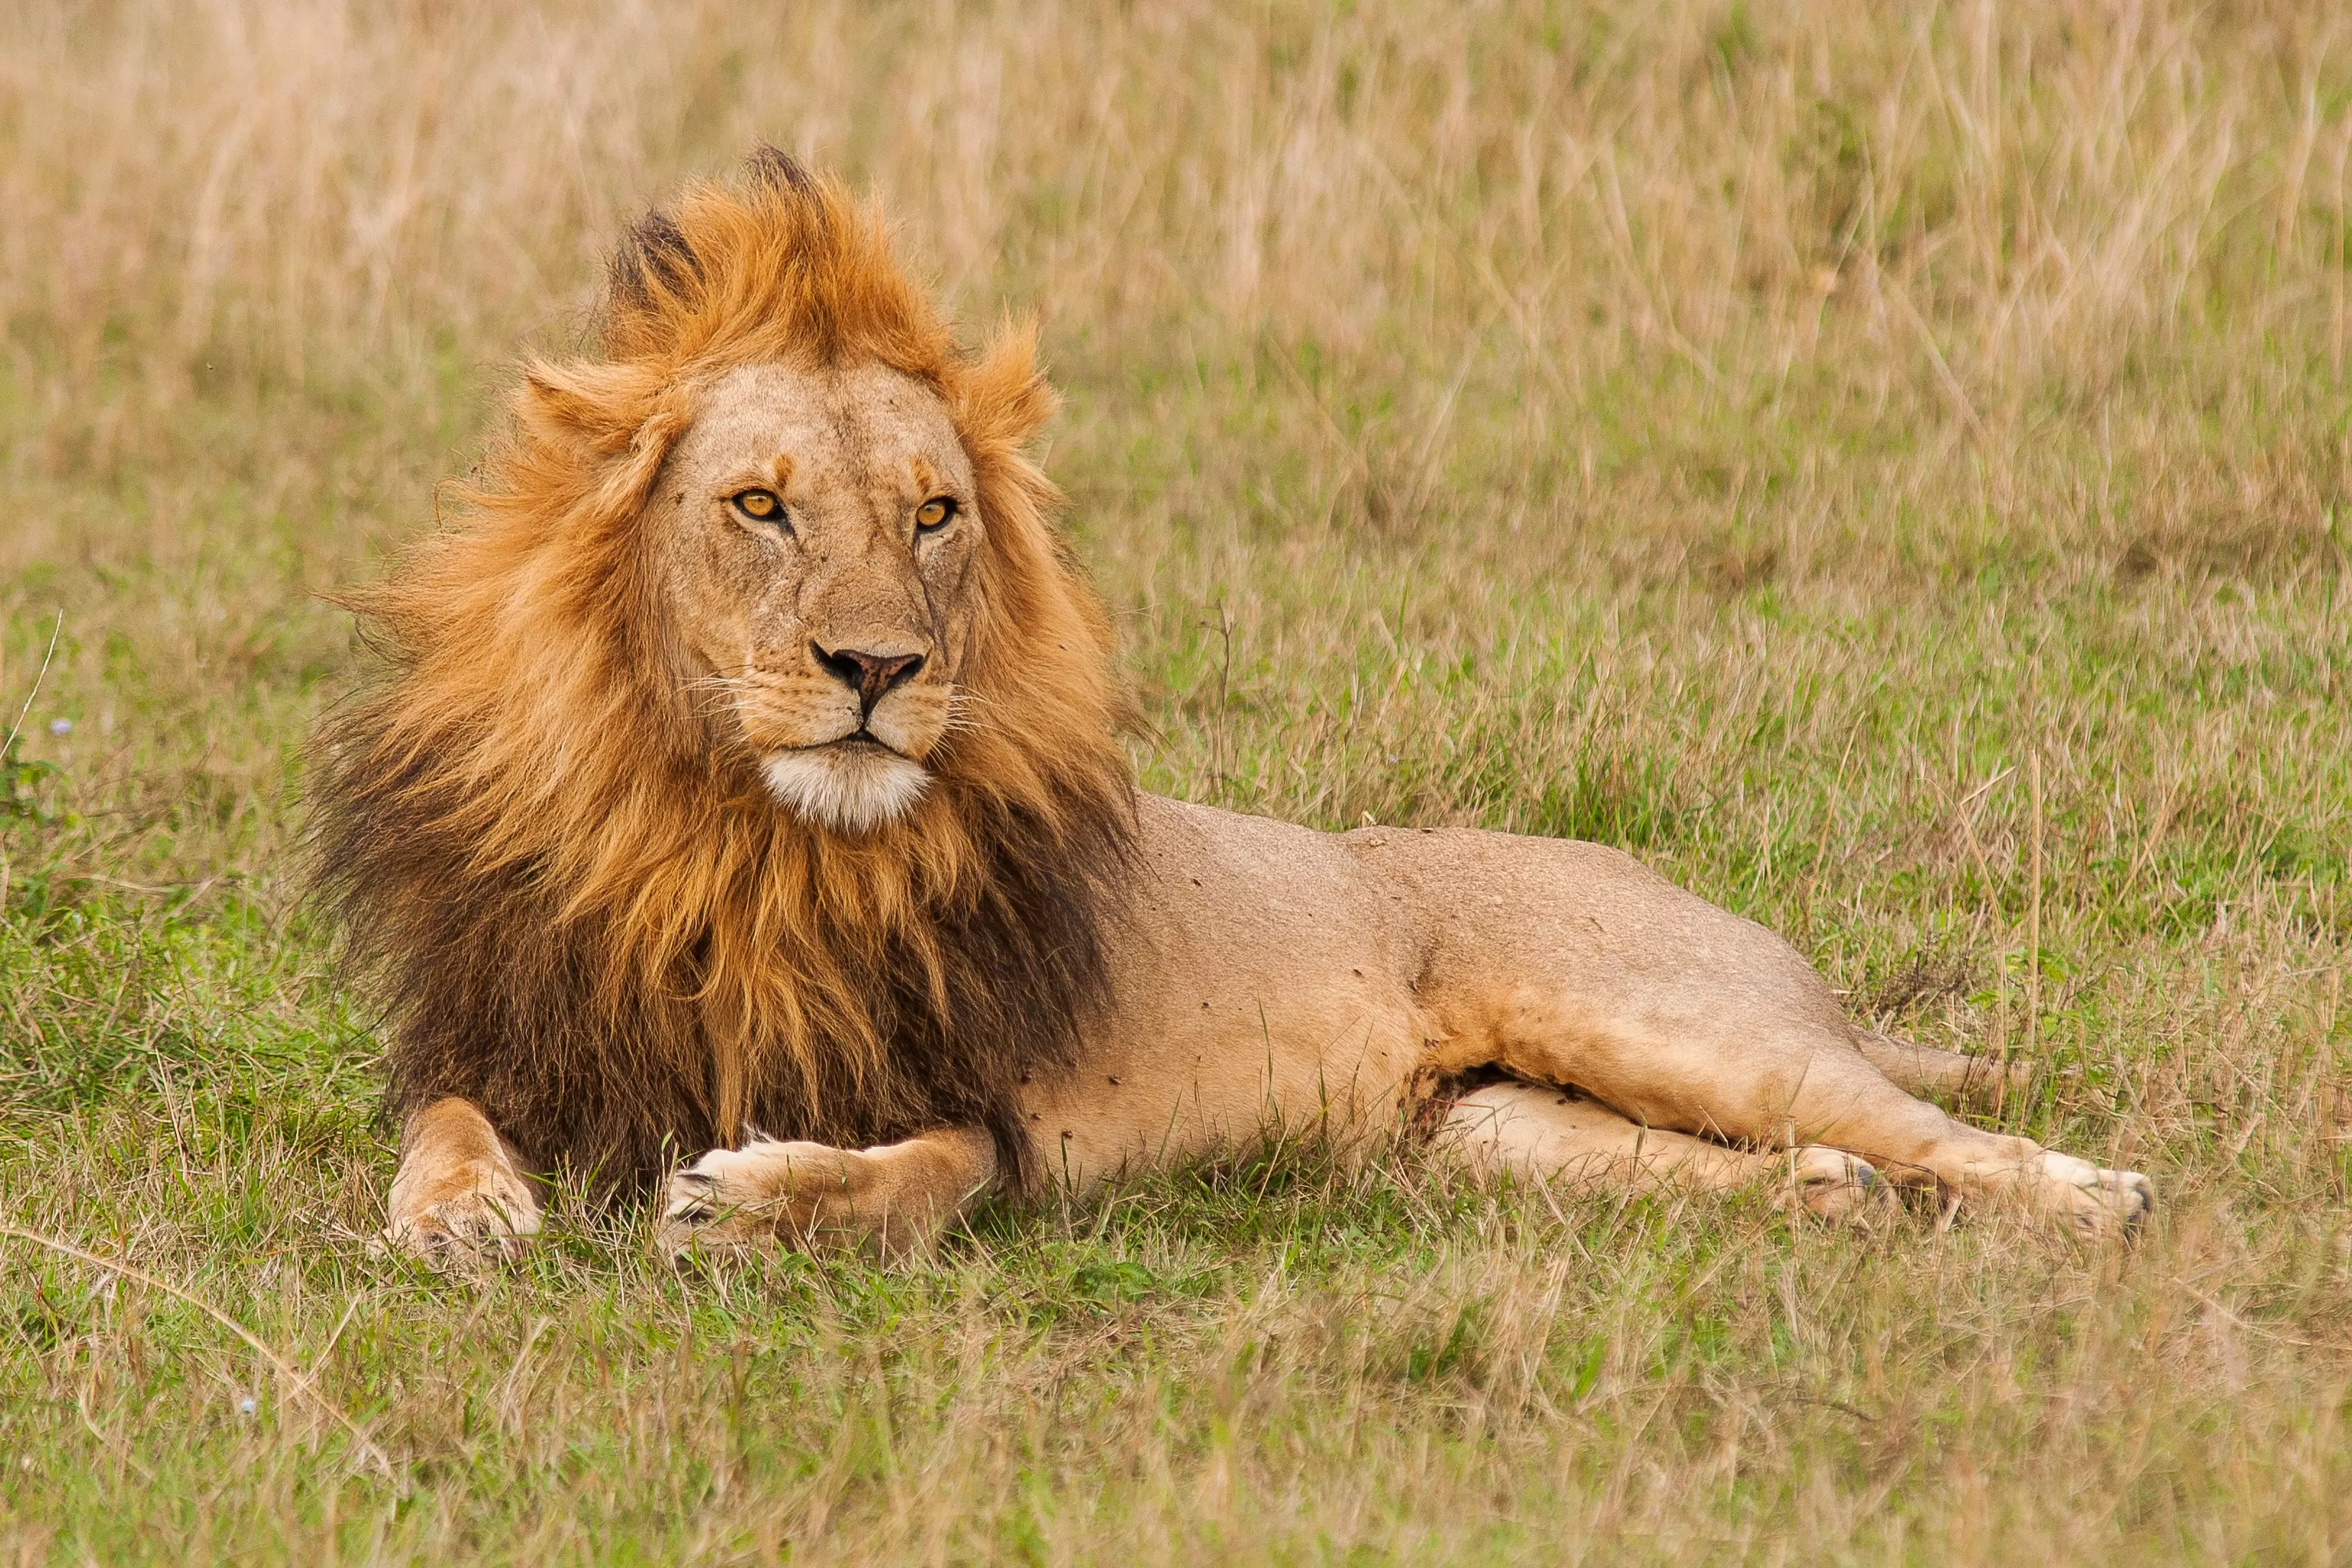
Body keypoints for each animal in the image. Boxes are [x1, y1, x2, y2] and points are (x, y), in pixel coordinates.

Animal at [313, 152, 2154, 1269]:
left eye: (933, 515)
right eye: (758, 505)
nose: (878, 671)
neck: (734, 838)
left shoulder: (991, 1111)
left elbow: (908, 1176)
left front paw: (764, 1199)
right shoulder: (507, 1033)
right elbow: (440, 1120)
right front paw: (464, 1215)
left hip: (1668, 1016)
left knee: (1925, 1124)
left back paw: (2091, 1194)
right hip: (1488, 1137)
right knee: (1801, 1167)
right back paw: (1827, 1201)